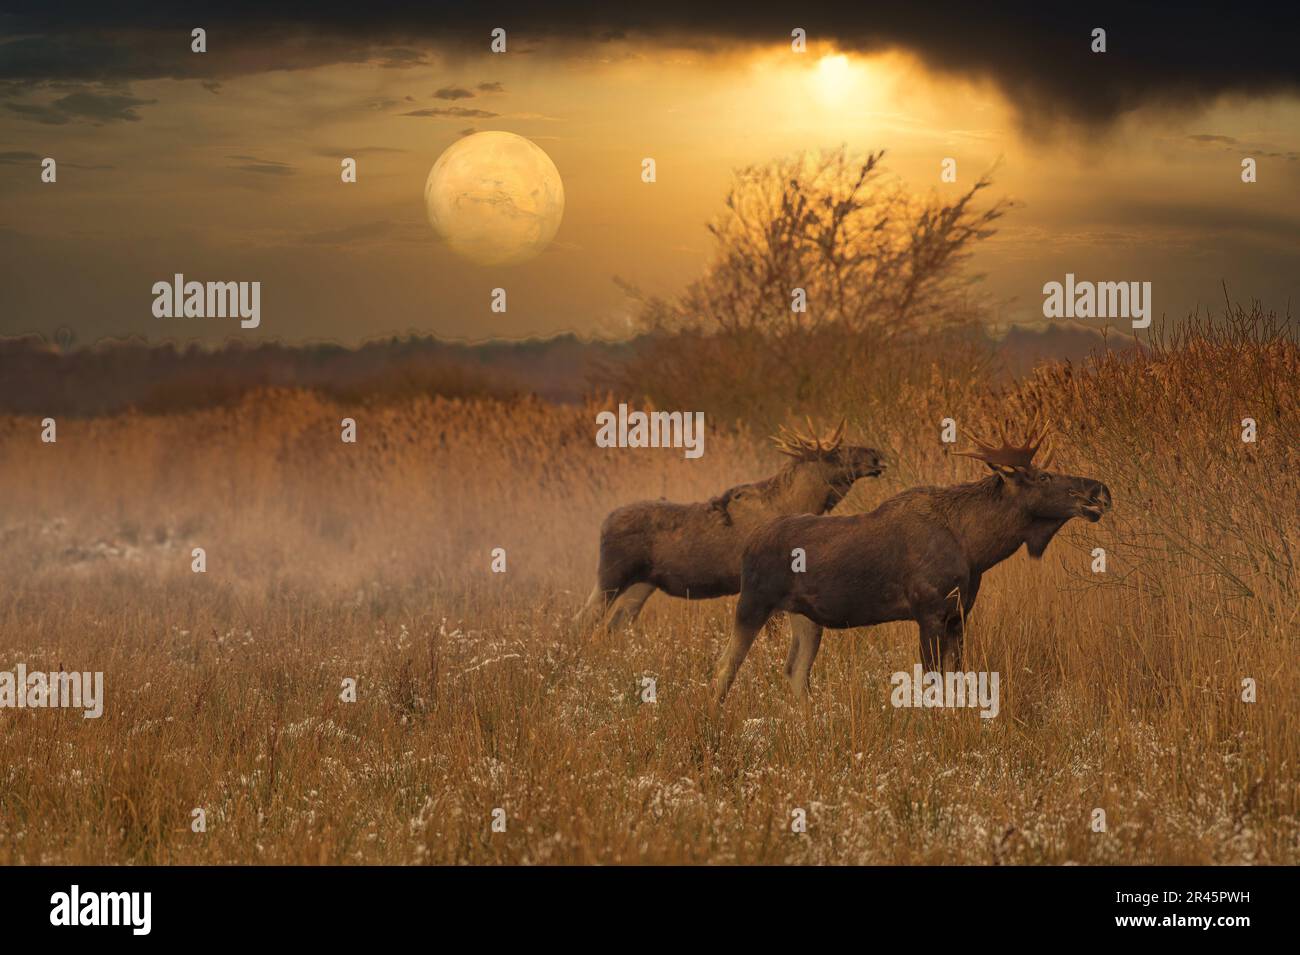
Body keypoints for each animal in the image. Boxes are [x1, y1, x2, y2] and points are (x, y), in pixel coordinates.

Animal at [575, 421, 885, 633]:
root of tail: (604, 522)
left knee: (616, 623)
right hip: (611, 575)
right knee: (583, 619)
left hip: (643, 583)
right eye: (836, 452)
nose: (876, 454)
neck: (799, 503)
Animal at [712, 415, 1112, 707]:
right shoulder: (929, 611)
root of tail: (749, 544)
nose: (1101, 491)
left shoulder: (959, 615)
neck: (975, 548)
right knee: (723, 667)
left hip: (805, 617)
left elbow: (956, 679)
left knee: (795, 672)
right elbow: (933, 682)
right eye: (1045, 475)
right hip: (753, 602)